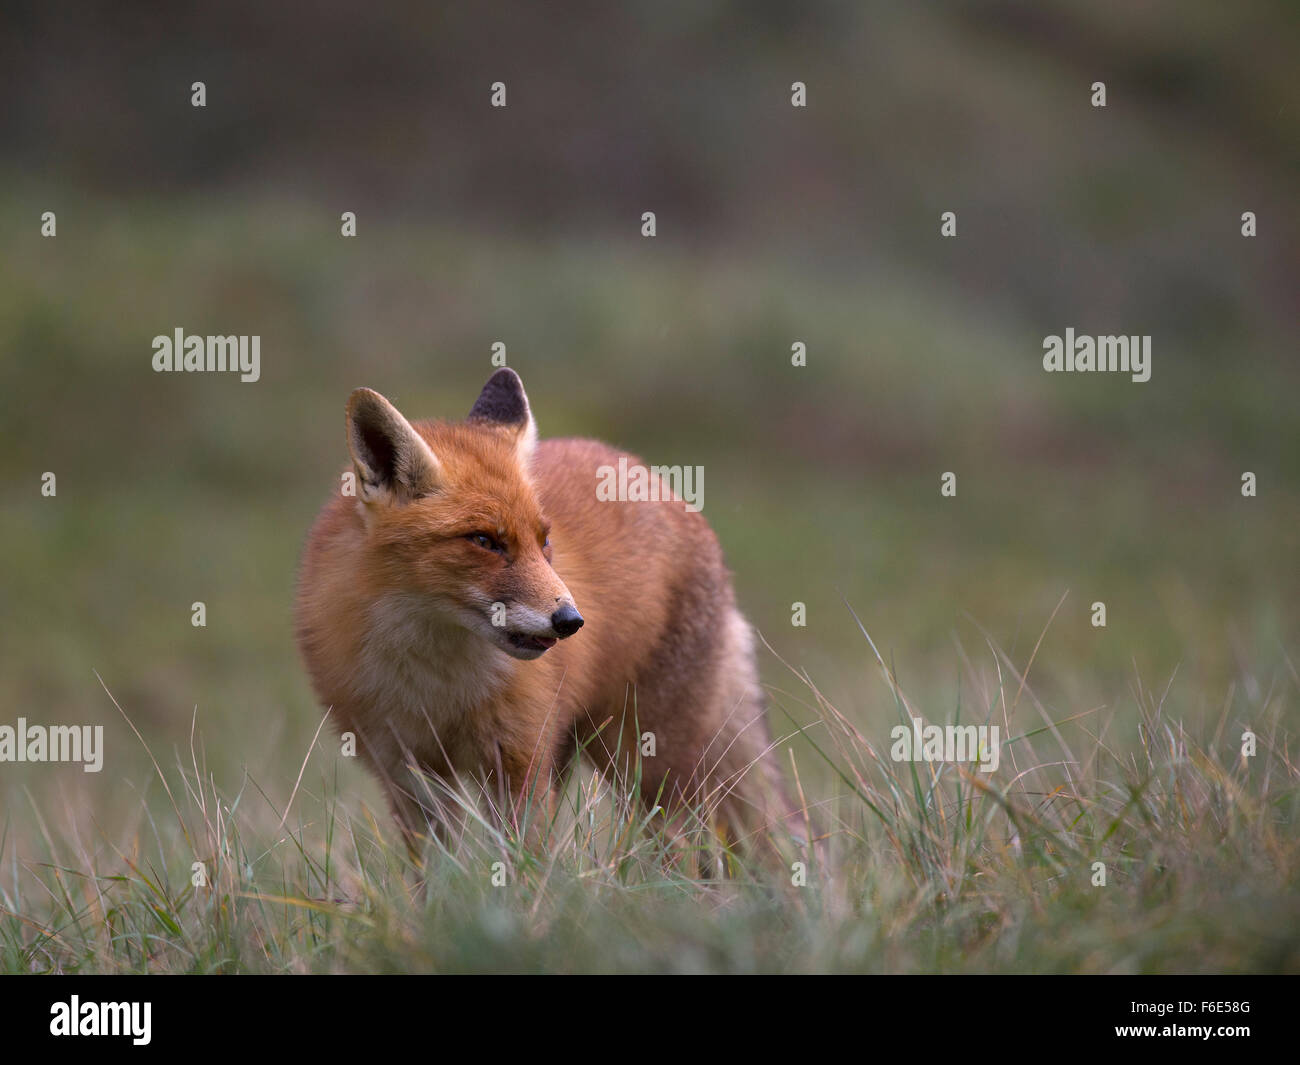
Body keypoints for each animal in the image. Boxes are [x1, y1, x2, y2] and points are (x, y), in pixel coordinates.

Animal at [294, 368, 802, 862]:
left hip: (649, 759)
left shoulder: (521, 761)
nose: (570, 621)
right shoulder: (407, 773)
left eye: (544, 542)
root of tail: (646, 472)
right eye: (484, 541)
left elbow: (521, 866)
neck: (436, 681)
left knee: (690, 848)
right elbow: (438, 873)